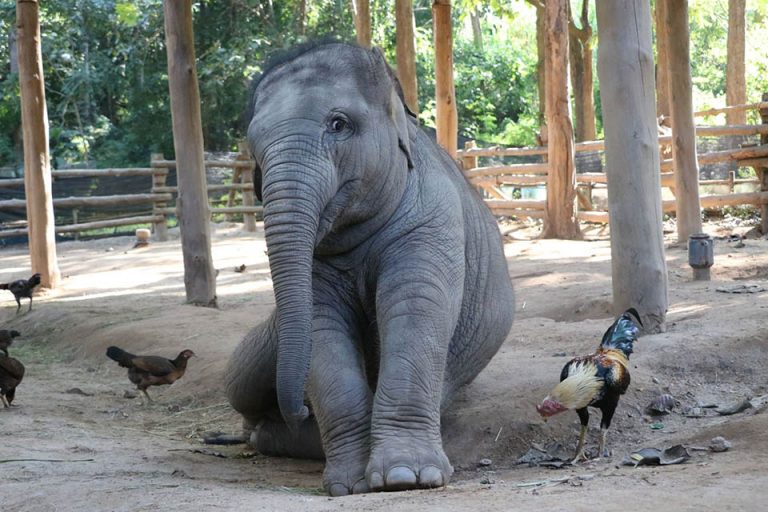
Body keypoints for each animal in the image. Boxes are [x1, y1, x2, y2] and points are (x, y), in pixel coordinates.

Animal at [225, 41, 514, 496]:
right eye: (252, 146)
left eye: (338, 124)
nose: (299, 409)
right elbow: (322, 326)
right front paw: (352, 484)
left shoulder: (432, 222)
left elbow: (416, 311)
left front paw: (406, 478)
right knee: (241, 380)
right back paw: (259, 433)